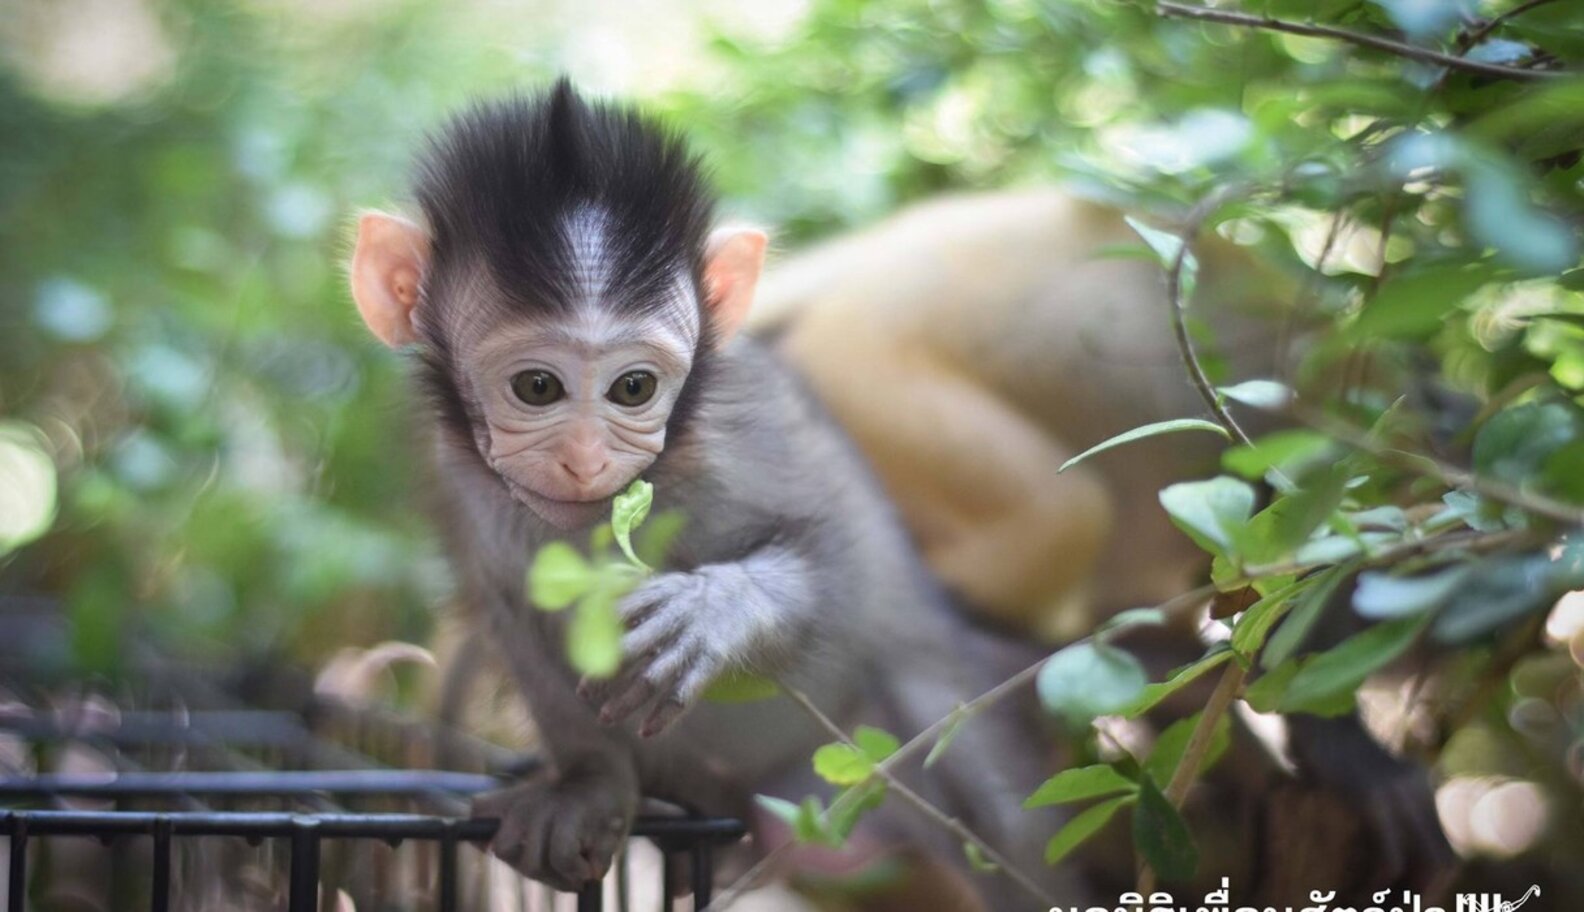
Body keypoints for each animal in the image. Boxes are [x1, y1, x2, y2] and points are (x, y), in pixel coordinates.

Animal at [347, 83, 1086, 910]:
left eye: (633, 388)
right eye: (537, 388)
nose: (585, 459)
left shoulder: (746, 434)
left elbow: (848, 555)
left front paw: (718, 609)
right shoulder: (452, 472)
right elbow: (510, 612)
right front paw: (586, 784)